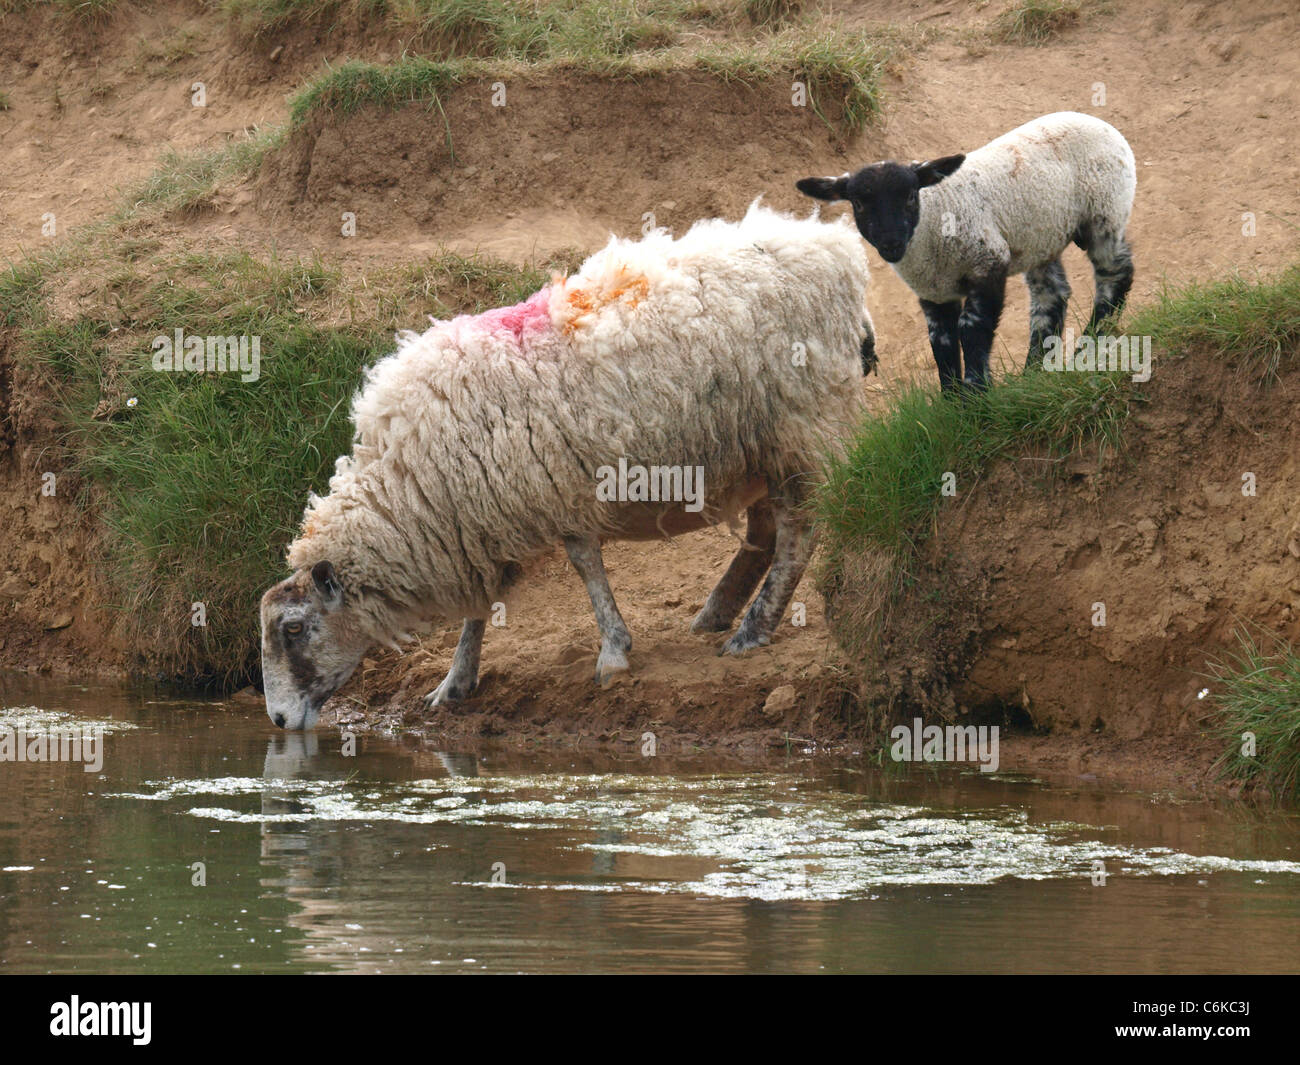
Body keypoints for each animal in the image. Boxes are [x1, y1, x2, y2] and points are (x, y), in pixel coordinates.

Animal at [258, 203, 873, 730]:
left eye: (293, 628)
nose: (279, 721)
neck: (411, 488)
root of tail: (839, 251)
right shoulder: (483, 518)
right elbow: (480, 609)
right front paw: (456, 682)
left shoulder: (553, 490)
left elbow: (584, 565)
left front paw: (613, 653)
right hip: (758, 445)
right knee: (766, 530)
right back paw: (718, 612)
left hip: (803, 418)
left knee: (799, 530)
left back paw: (753, 629)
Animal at [797, 111, 1137, 392]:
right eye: (858, 203)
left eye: (910, 196)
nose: (891, 243)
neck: (934, 217)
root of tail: (1101, 123)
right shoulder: (934, 292)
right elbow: (941, 343)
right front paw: (951, 401)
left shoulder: (987, 263)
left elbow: (971, 329)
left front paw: (976, 393)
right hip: (1042, 237)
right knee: (1052, 295)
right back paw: (1033, 371)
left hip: (1105, 210)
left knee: (1114, 273)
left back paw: (1090, 344)